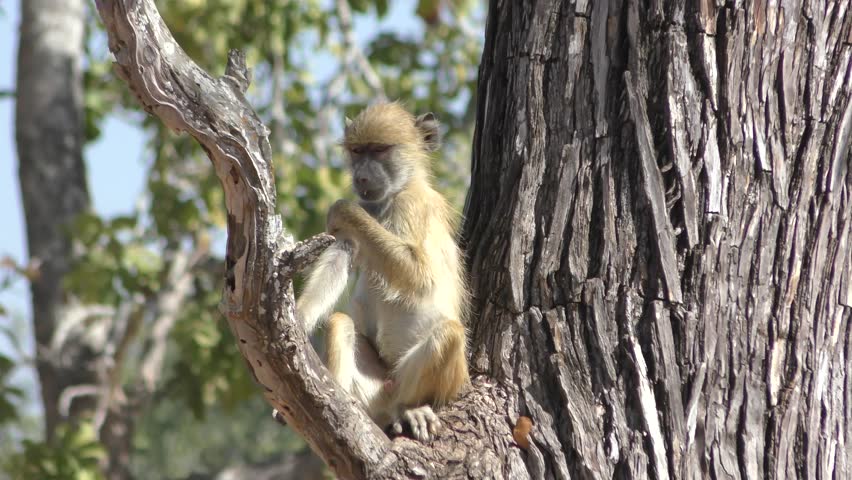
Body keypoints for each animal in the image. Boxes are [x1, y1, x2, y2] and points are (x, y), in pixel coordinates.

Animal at [295, 102, 469, 441]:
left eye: (378, 150)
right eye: (357, 151)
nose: (361, 177)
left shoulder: (411, 203)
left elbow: (419, 276)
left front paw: (341, 208)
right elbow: (343, 251)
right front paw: (300, 317)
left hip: (424, 379)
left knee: (449, 334)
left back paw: (409, 409)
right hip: (373, 387)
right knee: (340, 321)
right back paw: (342, 401)